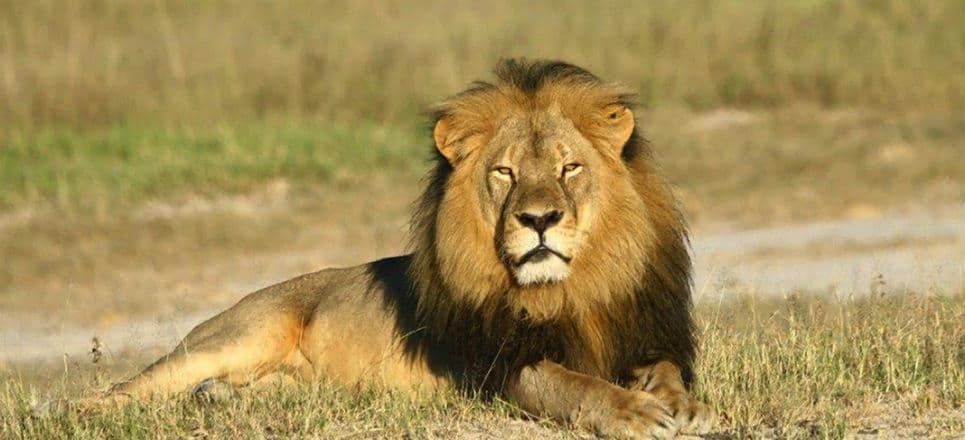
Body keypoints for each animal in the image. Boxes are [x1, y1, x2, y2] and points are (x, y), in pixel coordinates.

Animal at [85, 59, 715, 438]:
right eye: (505, 173)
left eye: (570, 167)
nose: (539, 219)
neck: (570, 289)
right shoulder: (499, 367)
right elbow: (574, 384)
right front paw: (635, 412)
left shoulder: (644, 332)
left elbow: (665, 369)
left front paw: (683, 404)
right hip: (238, 335)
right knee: (129, 387)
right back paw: (79, 411)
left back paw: (218, 399)